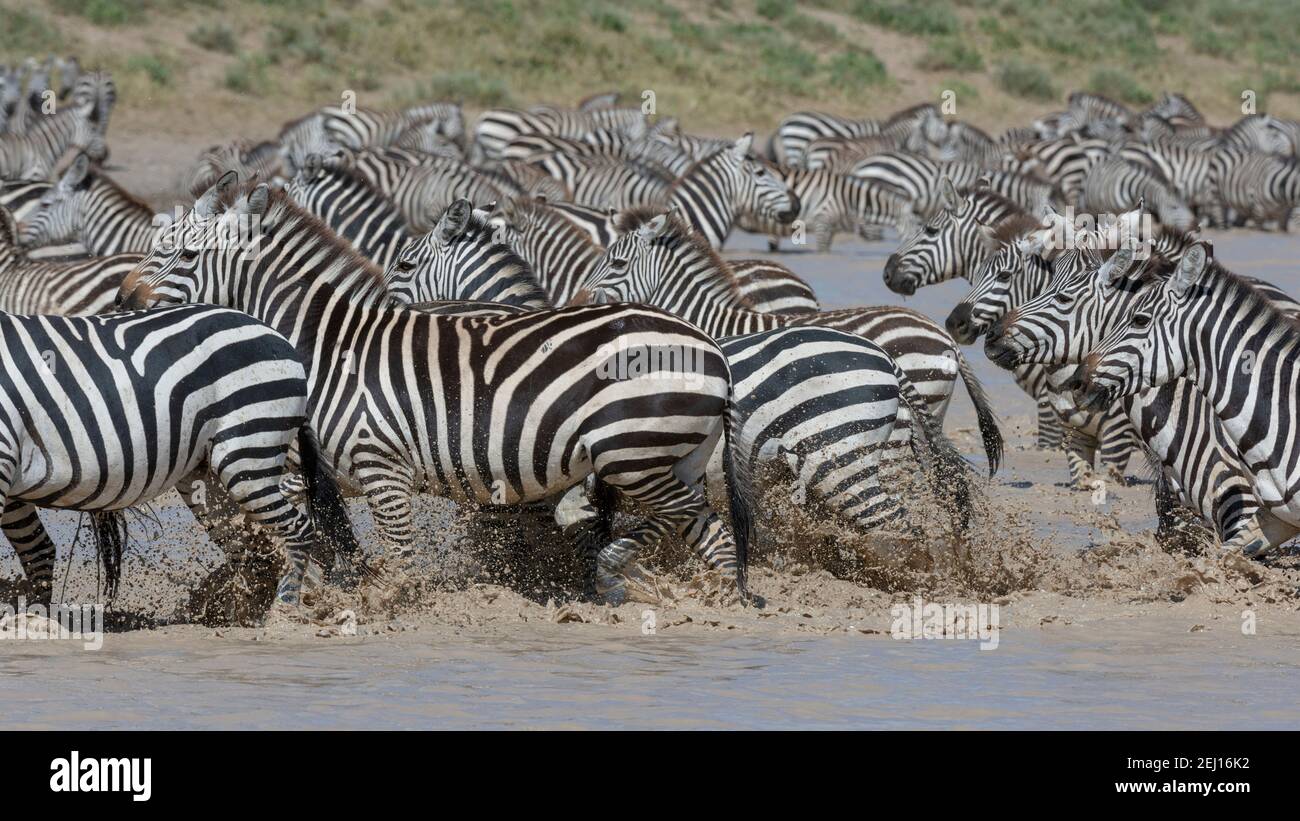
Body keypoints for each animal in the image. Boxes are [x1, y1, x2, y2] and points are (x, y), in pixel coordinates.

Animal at [0, 301, 359, 610]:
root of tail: (274, 334)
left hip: (247, 452)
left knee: (297, 530)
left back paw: (282, 615)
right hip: (205, 476)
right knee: (248, 549)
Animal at [119, 175, 757, 605]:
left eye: (187, 254)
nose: (124, 300)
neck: (326, 346)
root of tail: (711, 348)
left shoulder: (380, 465)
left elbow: (392, 557)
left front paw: (391, 609)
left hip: (636, 453)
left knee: (691, 516)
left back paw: (620, 570)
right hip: (670, 457)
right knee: (710, 532)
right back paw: (714, 608)